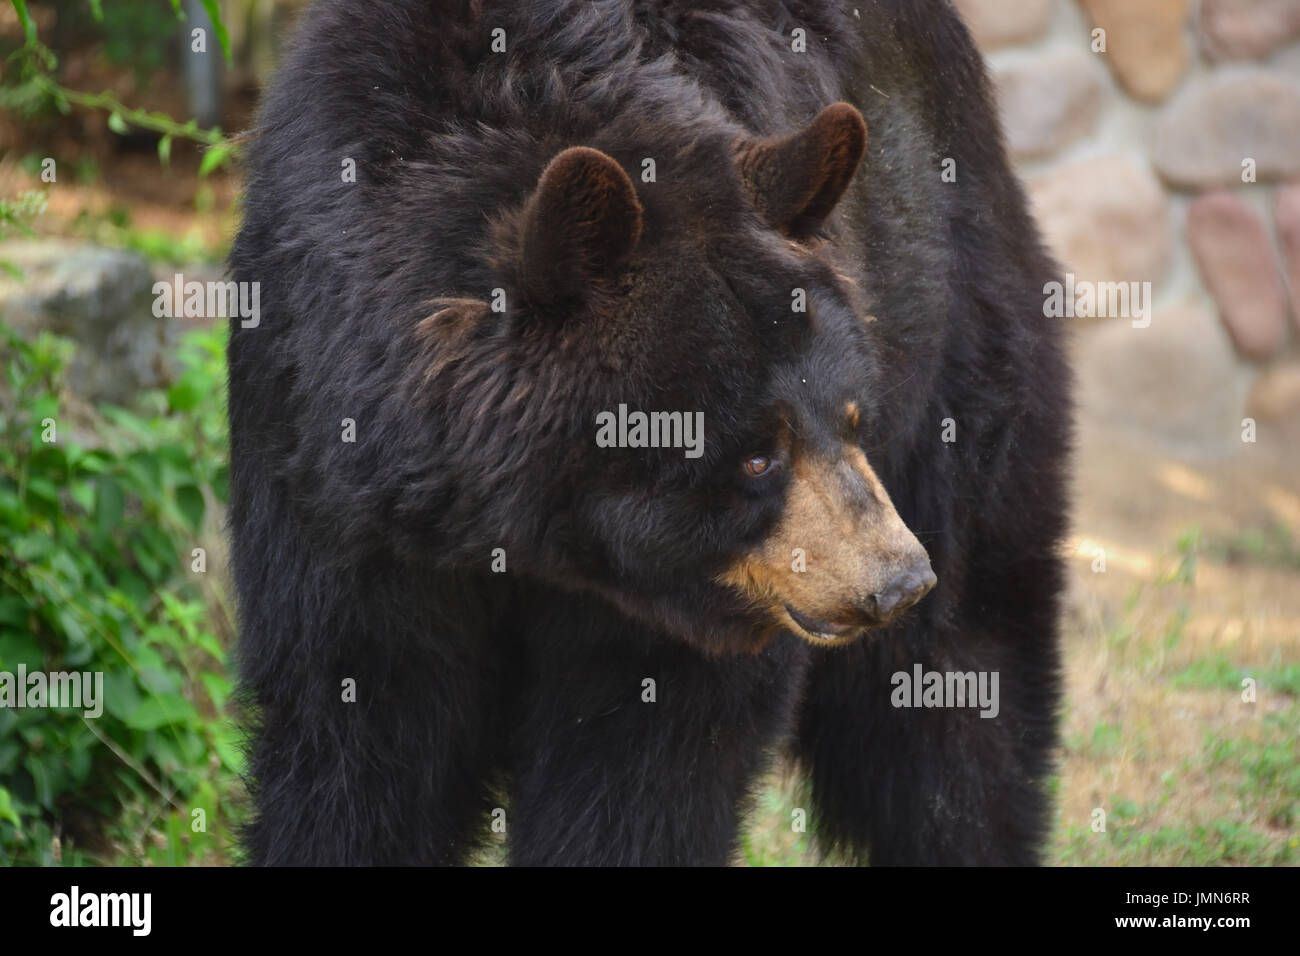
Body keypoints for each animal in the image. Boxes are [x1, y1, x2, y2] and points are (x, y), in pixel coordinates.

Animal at [227, 0, 1070, 866]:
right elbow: (358, 722)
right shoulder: (328, 468)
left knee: (953, 687)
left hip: (952, 336)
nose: (895, 579)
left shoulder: (693, 598)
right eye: (756, 456)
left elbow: (647, 762)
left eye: (850, 417)